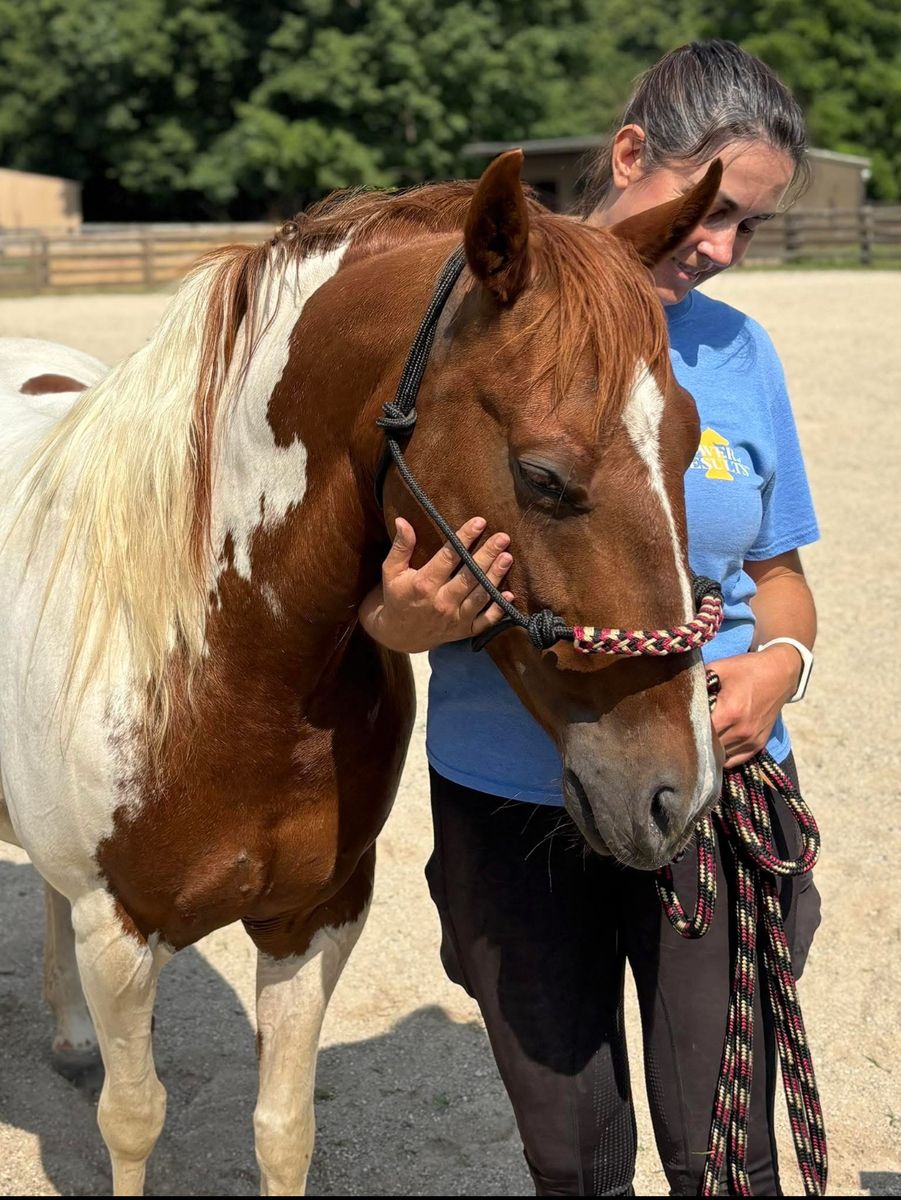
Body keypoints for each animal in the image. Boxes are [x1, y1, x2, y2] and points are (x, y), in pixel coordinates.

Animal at [0, 150, 723, 1195]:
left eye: (687, 441)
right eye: (542, 475)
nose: (680, 793)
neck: (227, 674)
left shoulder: (317, 917)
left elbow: (283, 1129)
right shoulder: (118, 936)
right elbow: (133, 1124)